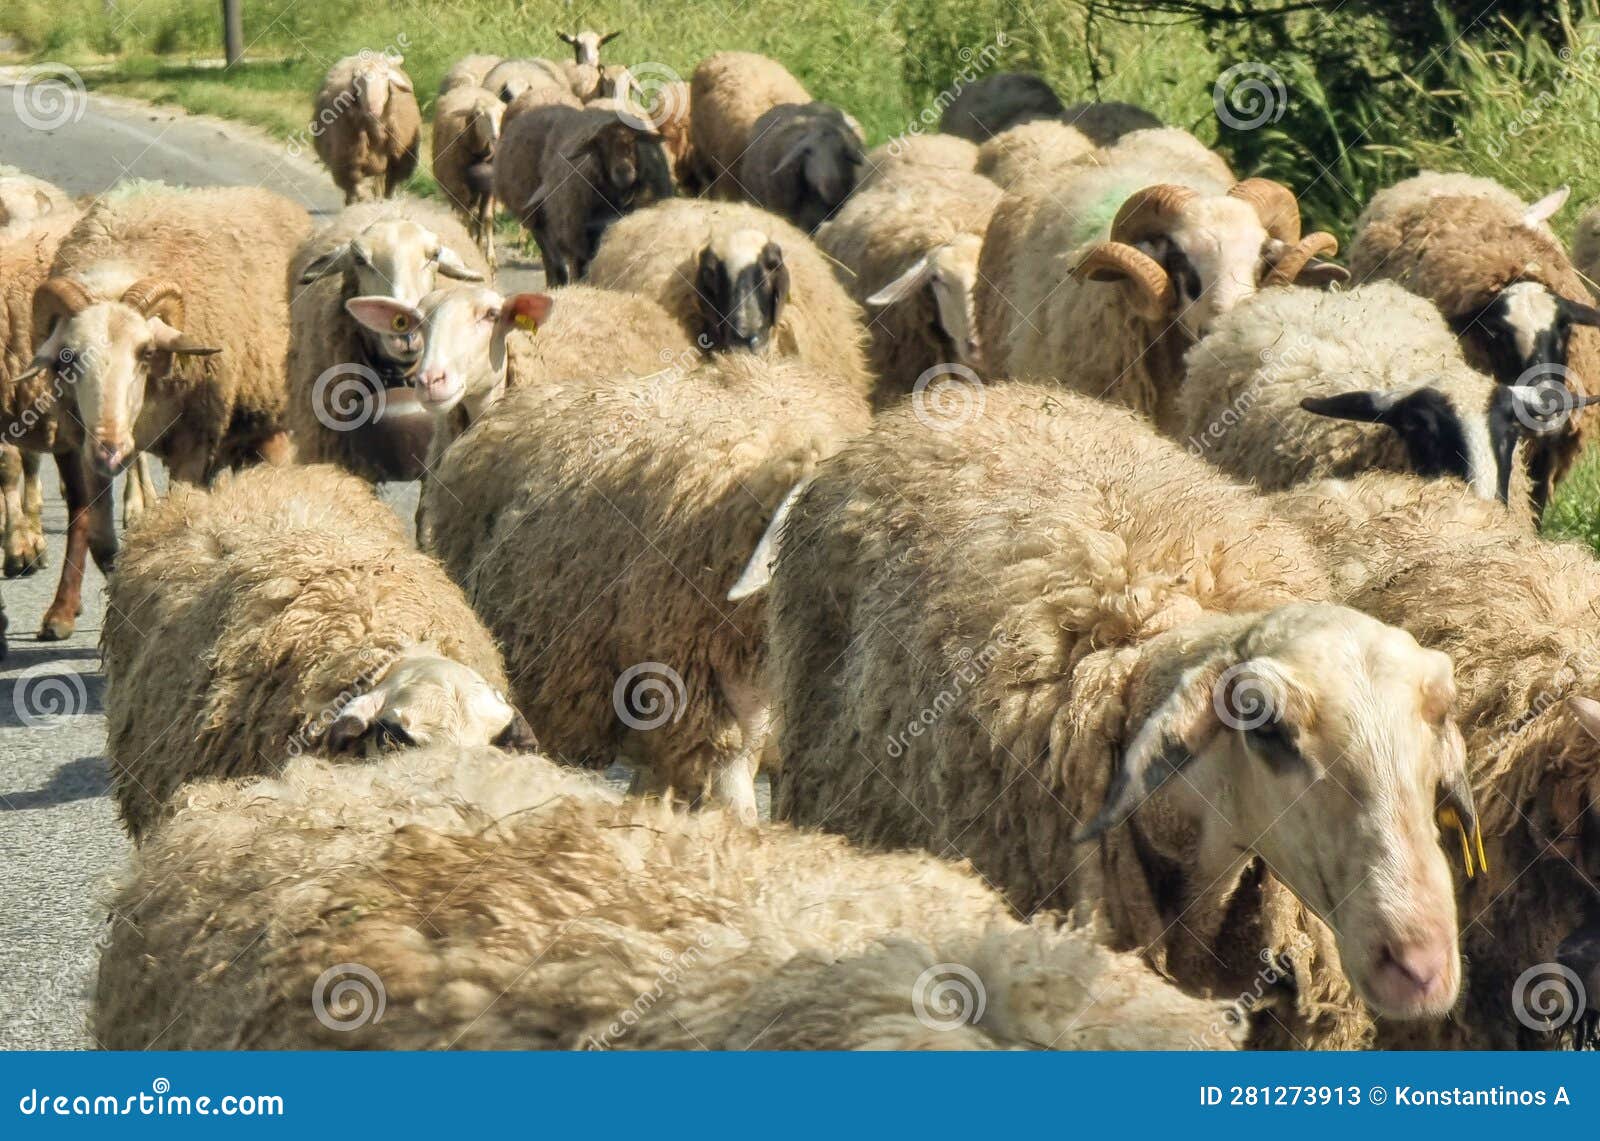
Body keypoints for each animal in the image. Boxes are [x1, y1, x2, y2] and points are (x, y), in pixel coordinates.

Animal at [19, 182, 309, 640]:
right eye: (68, 357)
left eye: (146, 352)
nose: (111, 447)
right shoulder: (85, 443)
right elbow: (102, 540)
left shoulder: (194, 438)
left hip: (270, 425)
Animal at [311, 54, 421, 204]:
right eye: (358, 80)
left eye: (385, 75)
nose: (373, 109)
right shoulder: (349, 160)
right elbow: (355, 185)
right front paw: (358, 199)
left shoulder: (398, 160)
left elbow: (390, 186)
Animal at [431, 85, 505, 268]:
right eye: (478, 114)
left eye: (501, 113)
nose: (496, 136)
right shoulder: (459, 187)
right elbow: (467, 217)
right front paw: (470, 246)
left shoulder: (489, 189)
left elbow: (487, 218)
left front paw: (490, 257)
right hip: (455, 188)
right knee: (465, 214)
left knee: (476, 215)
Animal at [494, 105, 673, 286]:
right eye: (600, 146)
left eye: (632, 141)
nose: (623, 172)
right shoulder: (579, 238)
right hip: (543, 225)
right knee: (554, 260)